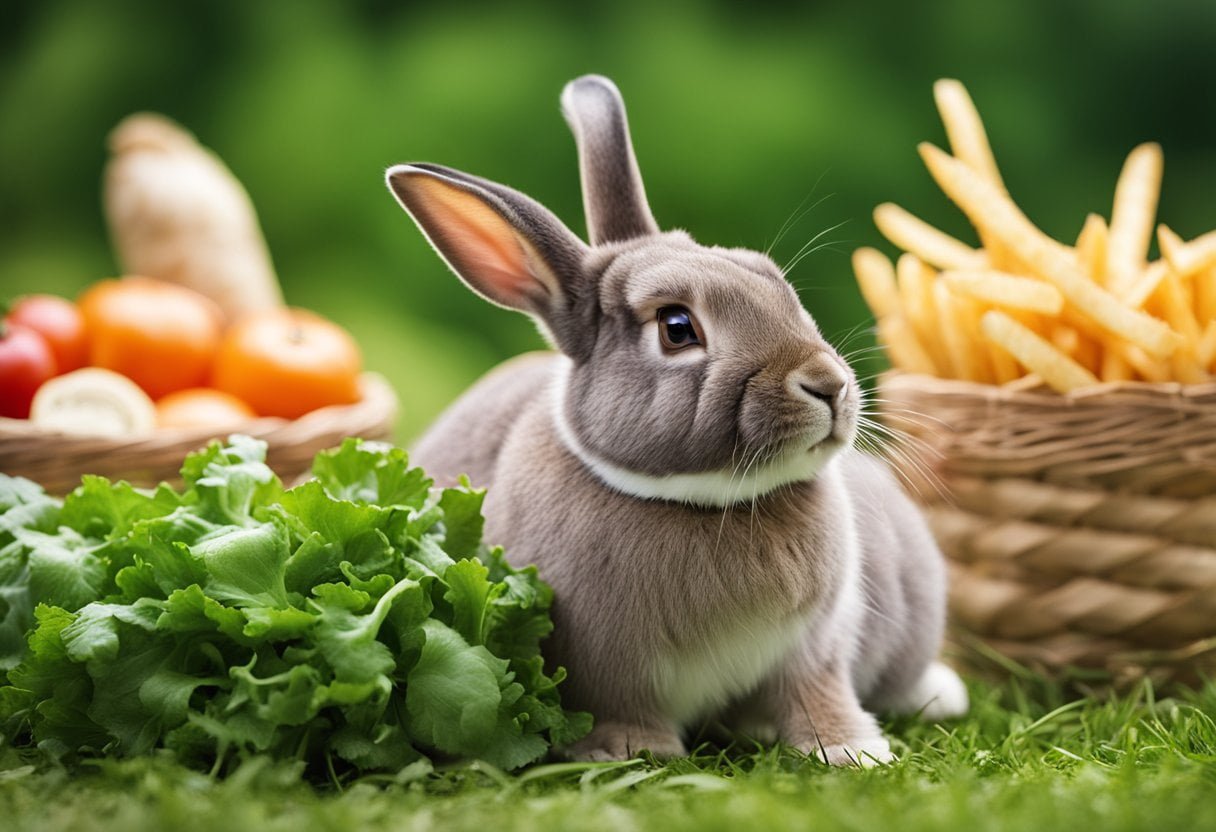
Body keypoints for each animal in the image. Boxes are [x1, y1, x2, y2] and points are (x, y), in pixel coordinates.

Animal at [385, 74, 968, 765]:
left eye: (777, 284)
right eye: (677, 327)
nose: (829, 385)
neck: (713, 504)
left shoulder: (816, 647)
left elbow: (818, 694)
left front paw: (853, 751)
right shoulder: (606, 668)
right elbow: (626, 708)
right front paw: (636, 752)